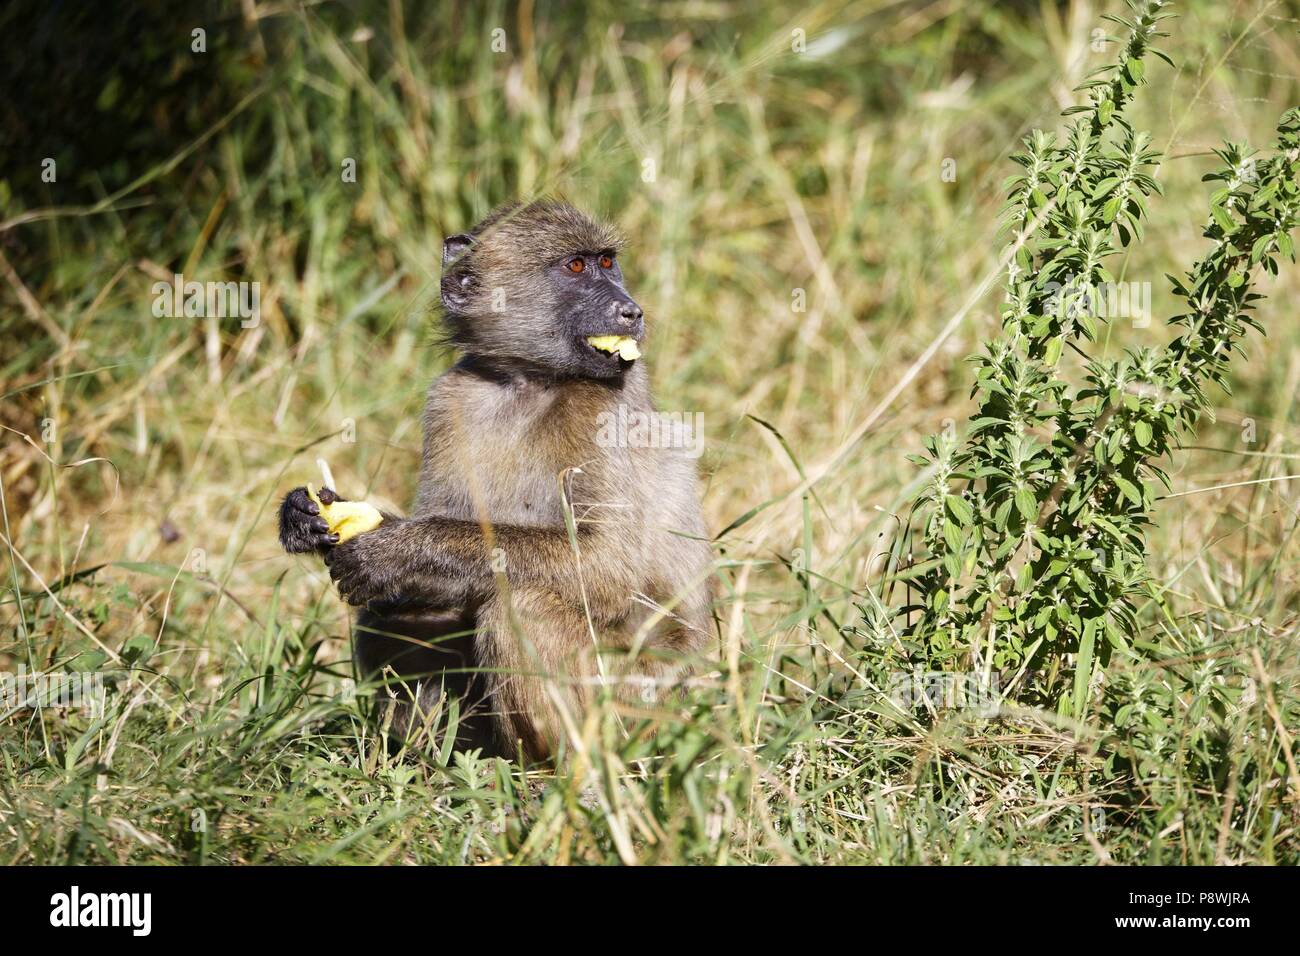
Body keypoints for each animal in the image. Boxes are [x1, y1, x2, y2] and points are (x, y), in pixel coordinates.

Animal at [279, 200, 714, 761]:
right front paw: (304, 516)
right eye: (577, 266)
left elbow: (608, 564)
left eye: (607, 262)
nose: (631, 312)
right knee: (392, 619)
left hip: (642, 705)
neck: (527, 381)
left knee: (523, 607)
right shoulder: (450, 396)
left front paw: (396, 550)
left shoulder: (604, 407)